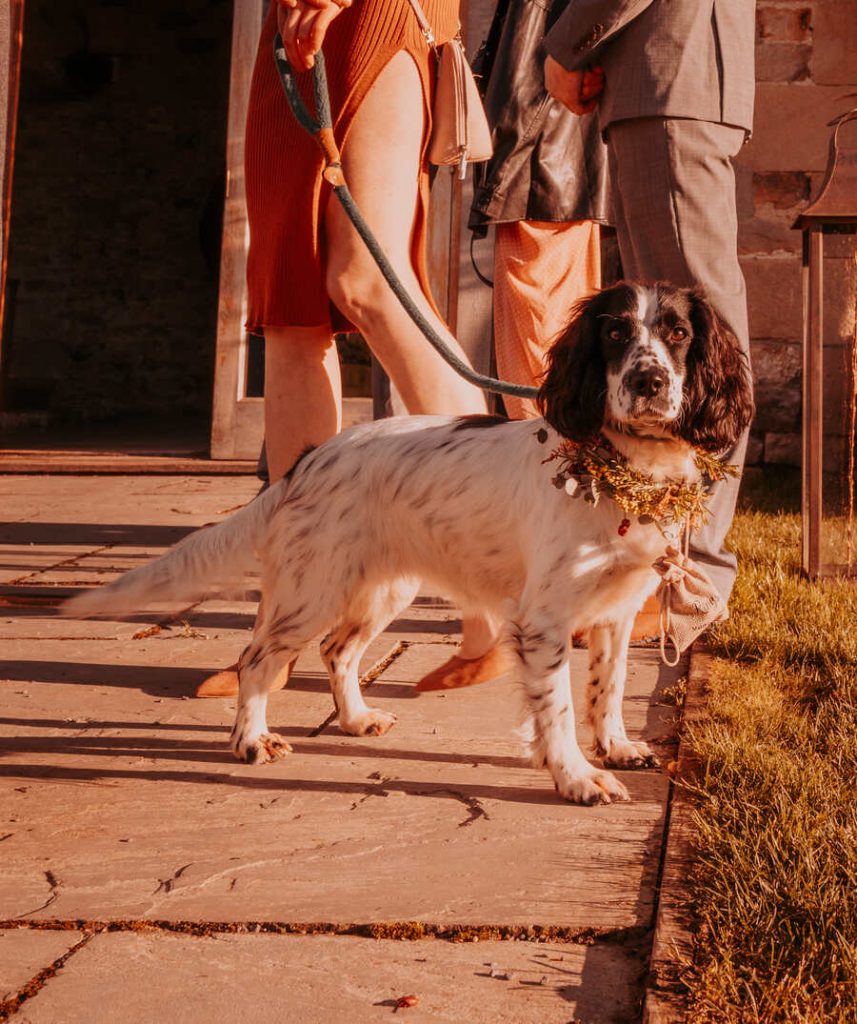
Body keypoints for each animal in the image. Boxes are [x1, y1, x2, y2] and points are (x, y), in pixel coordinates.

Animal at [63, 282, 753, 806]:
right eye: (614, 335)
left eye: (678, 334)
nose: (648, 381)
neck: (624, 468)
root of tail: (310, 457)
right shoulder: (545, 620)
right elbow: (557, 707)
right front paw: (578, 778)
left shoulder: (616, 609)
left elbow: (607, 689)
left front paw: (616, 748)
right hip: (314, 590)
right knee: (257, 658)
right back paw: (252, 742)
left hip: (381, 588)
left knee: (337, 651)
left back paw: (354, 720)